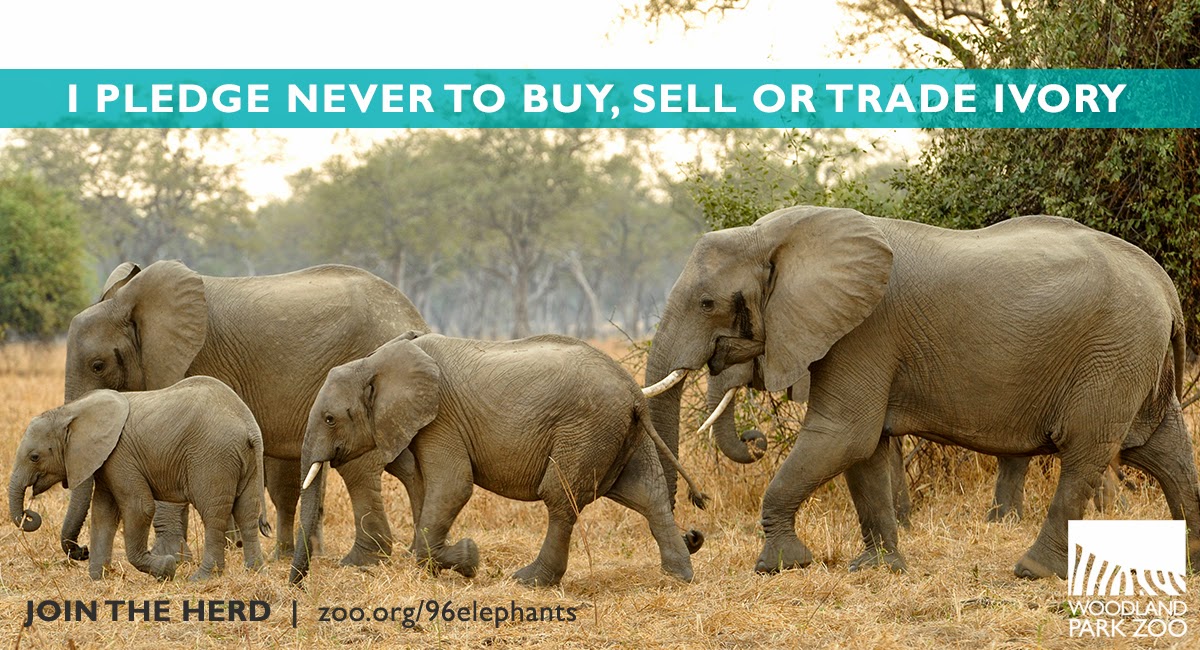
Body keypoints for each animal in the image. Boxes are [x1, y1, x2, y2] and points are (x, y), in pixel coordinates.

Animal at [9, 377, 268, 581]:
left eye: (34, 457)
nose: (83, 551)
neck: (69, 412)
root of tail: (249, 425)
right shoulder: (107, 463)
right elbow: (103, 513)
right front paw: (98, 579)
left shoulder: (120, 456)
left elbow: (139, 508)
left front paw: (167, 568)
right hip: (246, 461)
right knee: (247, 511)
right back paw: (254, 571)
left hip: (212, 457)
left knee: (213, 514)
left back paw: (202, 578)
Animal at [61, 260, 429, 568]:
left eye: (98, 365)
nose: (81, 551)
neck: (129, 301)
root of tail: (416, 320)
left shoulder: (197, 358)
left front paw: (173, 558)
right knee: (407, 463)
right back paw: (413, 553)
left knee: (360, 468)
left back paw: (363, 561)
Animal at [290, 332, 707, 587]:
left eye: (330, 419)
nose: (298, 584)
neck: (374, 362)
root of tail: (635, 393)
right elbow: (427, 488)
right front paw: (442, 564)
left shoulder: (442, 418)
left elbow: (453, 487)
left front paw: (468, 558)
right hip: (620, 432)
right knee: (647, 494)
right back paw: (678, 577)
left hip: (586, 428)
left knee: (560, 498)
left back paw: (530, 581)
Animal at [642, 205, 1198, 580]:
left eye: (707, 302)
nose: (695, 534)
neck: (778, 234)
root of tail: (1164, 284)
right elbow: (865, 451)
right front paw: (876, 568)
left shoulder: (865, 331)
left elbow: (844, 435)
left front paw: (781, 566)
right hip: (1134, 358)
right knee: (1164, 451)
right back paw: (1188, 565)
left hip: (1113, 353)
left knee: (1085, 453)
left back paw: (1031, 571)